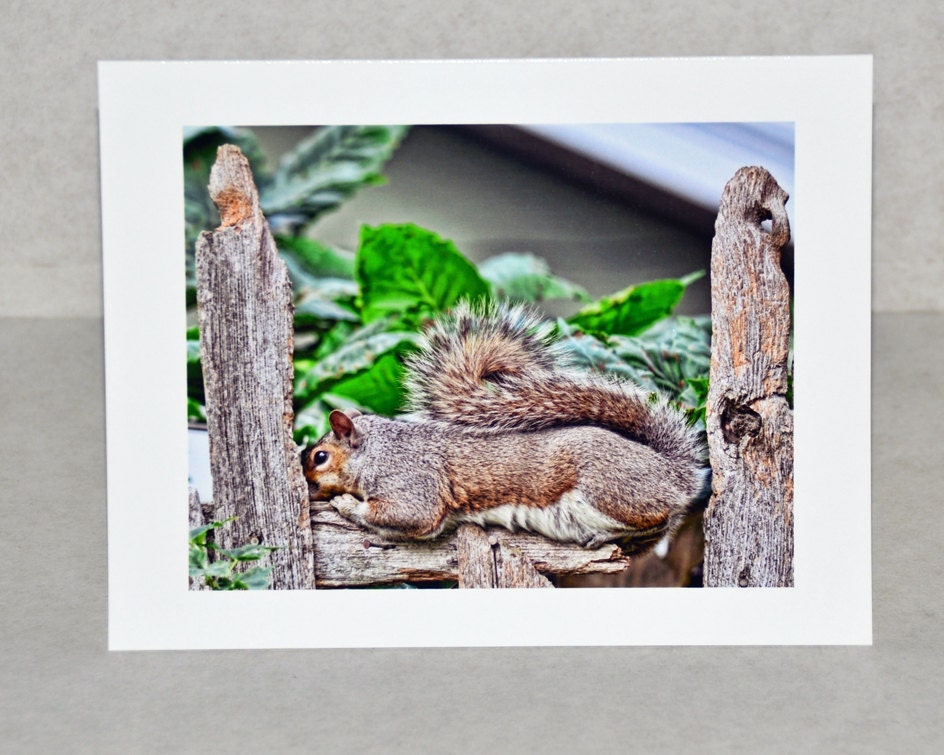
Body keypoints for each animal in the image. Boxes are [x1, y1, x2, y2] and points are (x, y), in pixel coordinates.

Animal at [300, 301, 709, 551]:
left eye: (320, 457)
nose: (306, 484)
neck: (377, 450)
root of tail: (672, 472)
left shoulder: (410, 483)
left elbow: (406, 515)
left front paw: (345, 504)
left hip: (608, 489)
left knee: (656, 519)